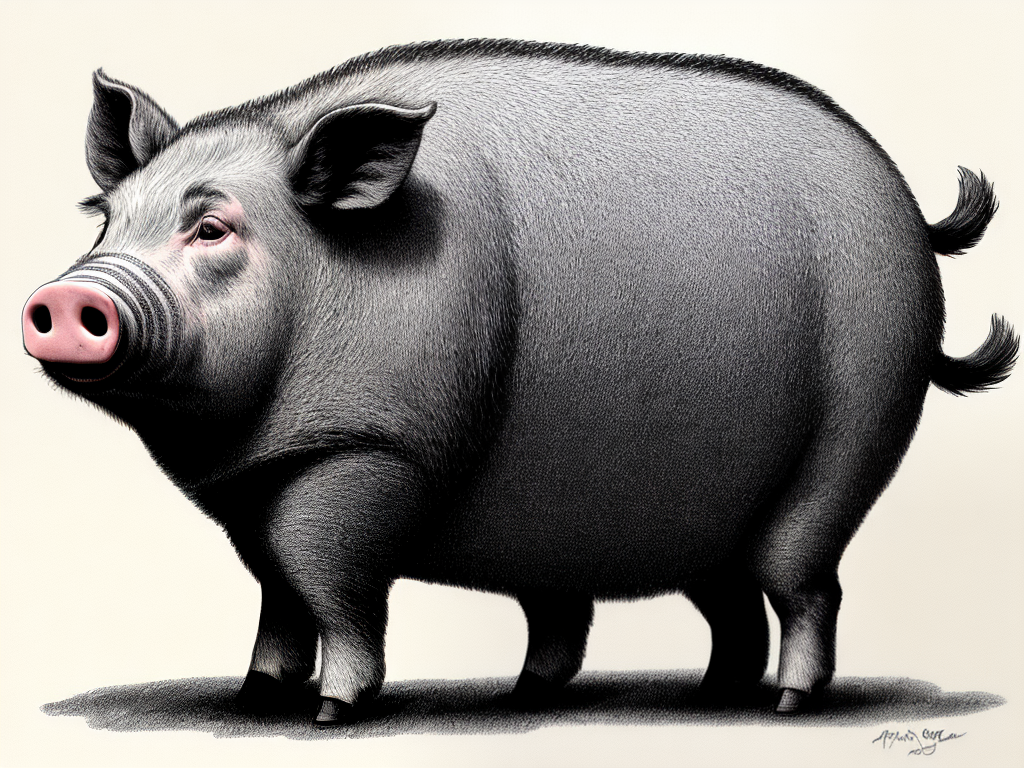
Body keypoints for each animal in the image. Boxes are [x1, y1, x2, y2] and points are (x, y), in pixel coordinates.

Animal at [21, 39, 1018, 726]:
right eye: (108, 218)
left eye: (212, 228)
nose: (66, 295)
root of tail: (913, 214)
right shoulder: (258, 485)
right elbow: (277, 588)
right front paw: (254, 698)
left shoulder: (376, 449)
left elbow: (329, 579)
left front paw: (332, 713)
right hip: (709, 509)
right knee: (728, 599)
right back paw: (666, 693)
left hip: (850, 432)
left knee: (808, 585)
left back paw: (787, 706)